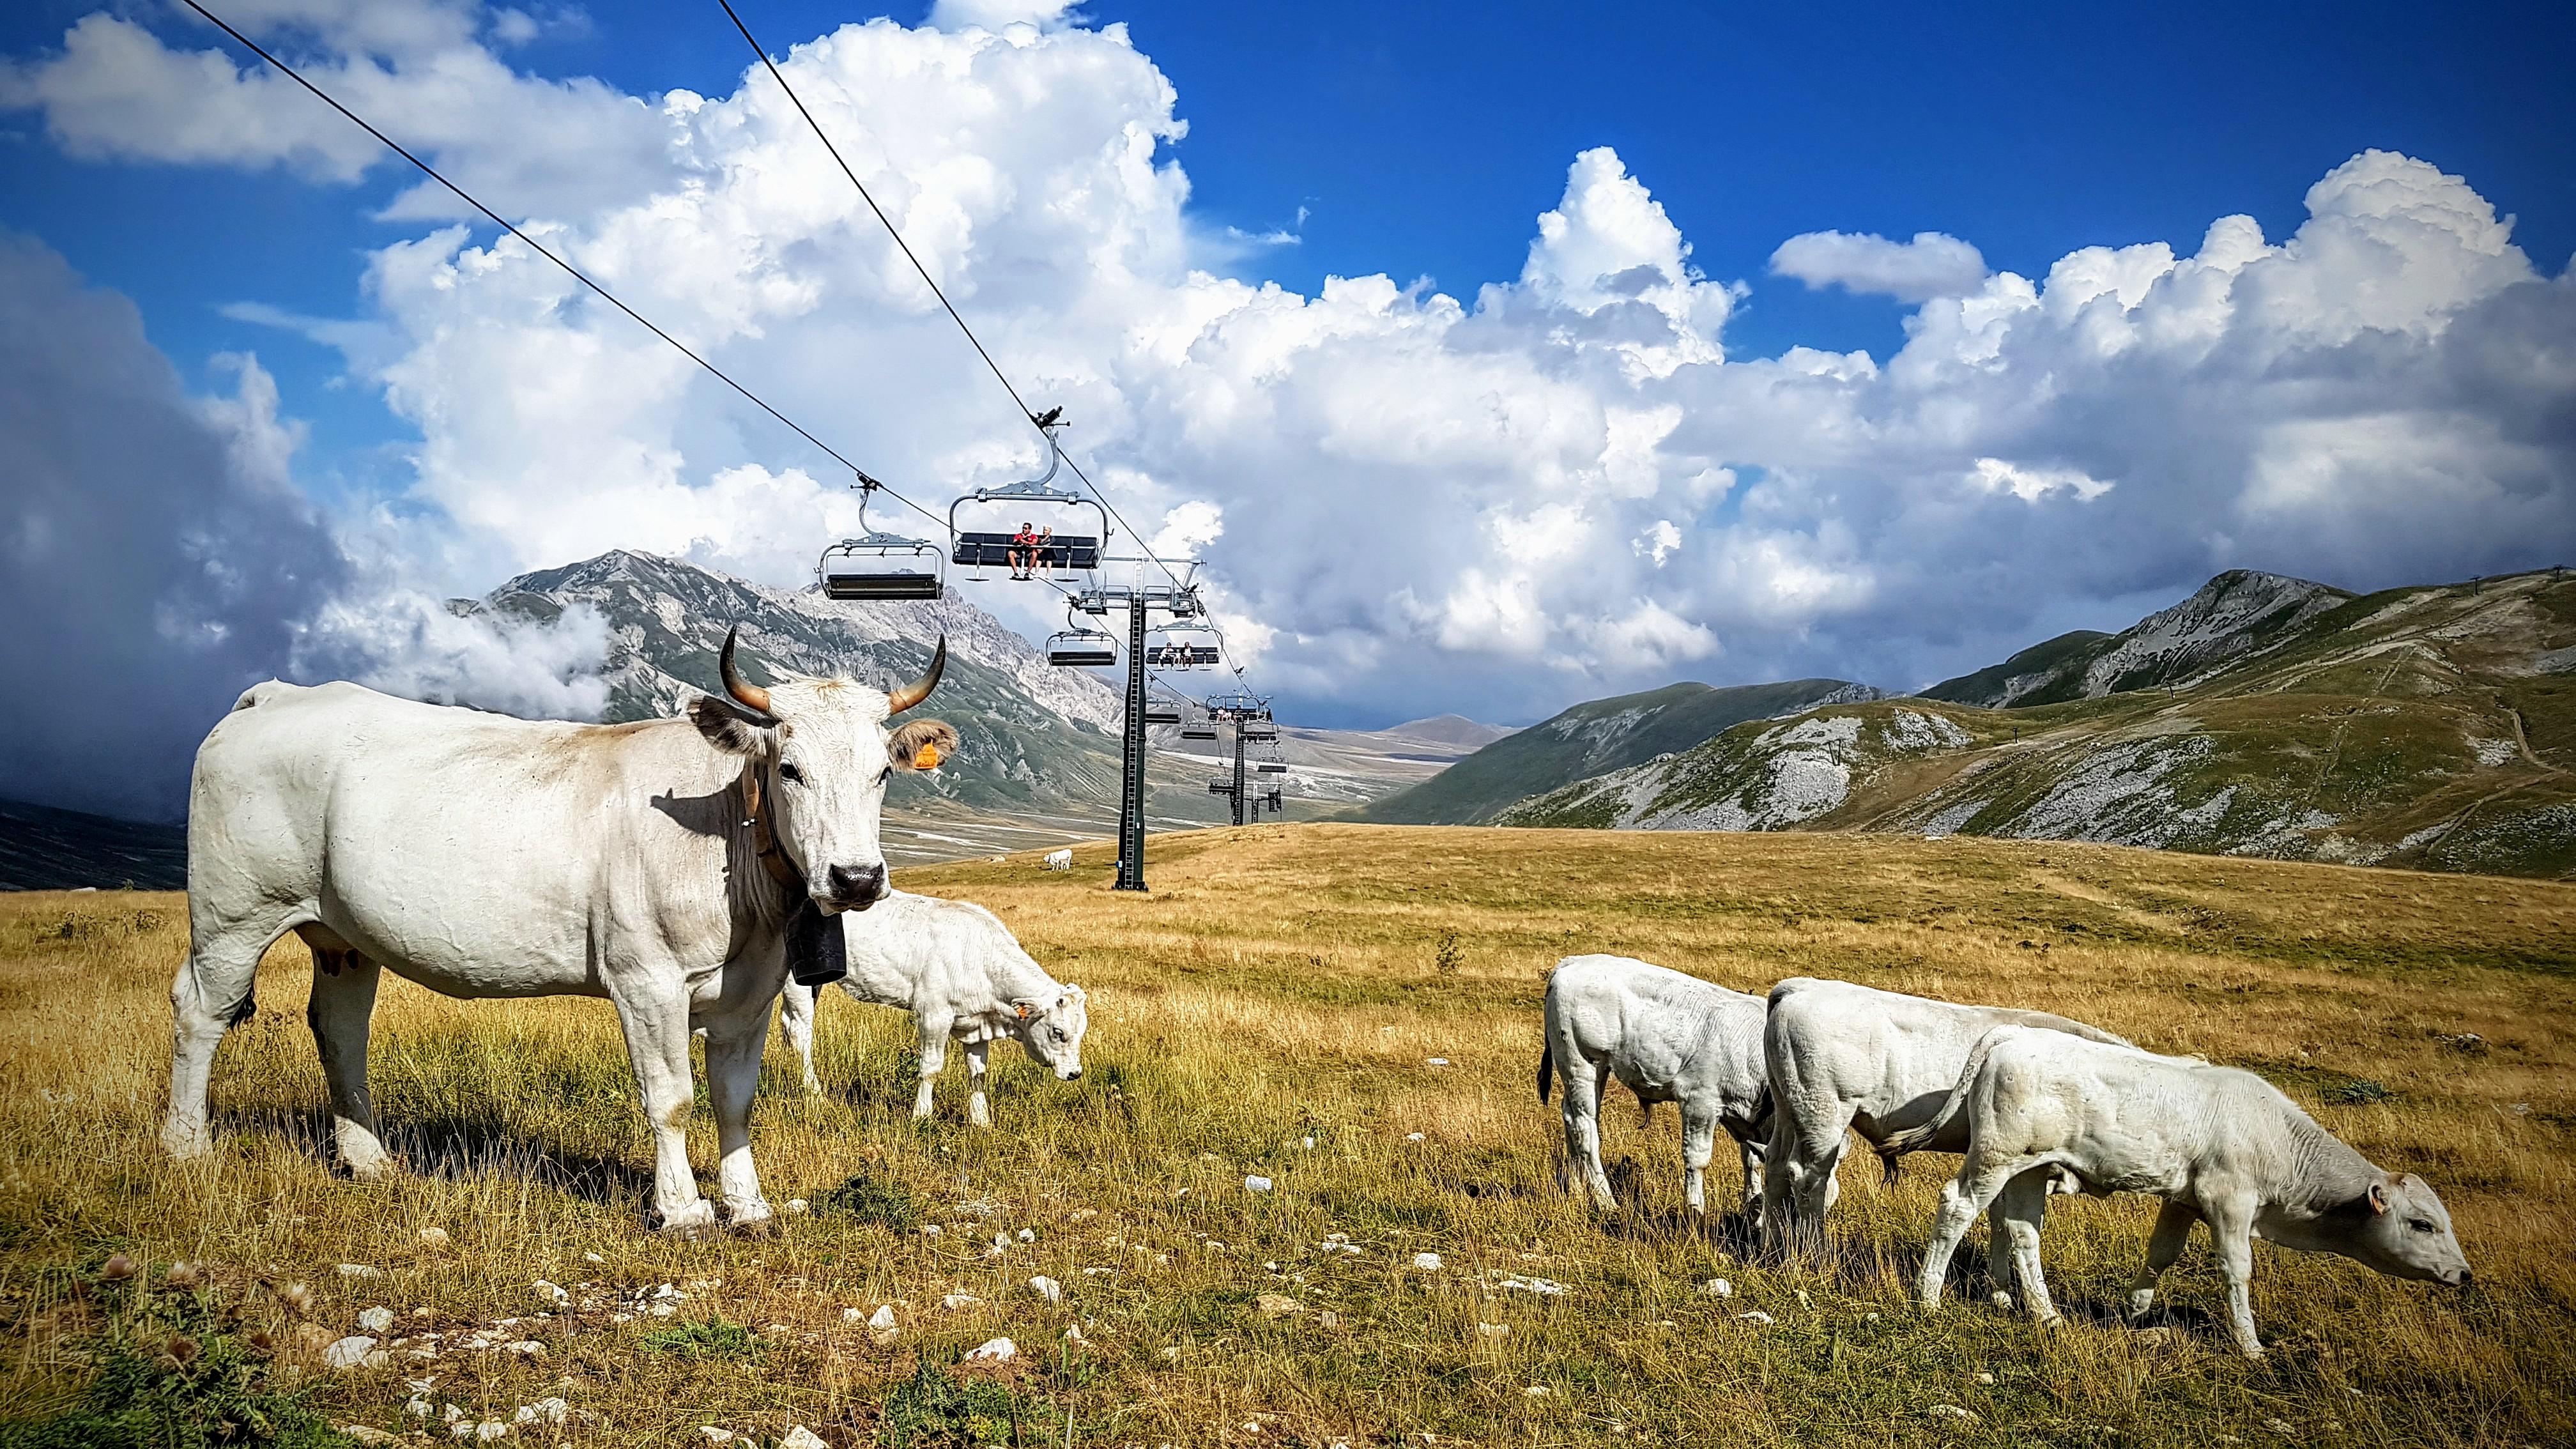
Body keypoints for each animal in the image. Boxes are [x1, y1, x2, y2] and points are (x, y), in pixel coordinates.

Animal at [161, 628, 954, 1237]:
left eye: (884, 773)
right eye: (789, 769)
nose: (856, 878)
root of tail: (279, 695)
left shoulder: (751, 993)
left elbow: (735, 1100)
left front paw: (748, 1204)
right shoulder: (645, 980)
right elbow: (673, 1098)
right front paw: (682, 1210)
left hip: (343, 933)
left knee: (340, 1027)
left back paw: (369, 1160)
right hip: (236, 910)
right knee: (201, 1011)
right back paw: (188, 1149)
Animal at [775, 891, 1087, 1125]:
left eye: (1081, 1032)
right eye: (1058, 1032)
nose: (1075, 1073)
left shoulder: (976, 1023)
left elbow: (978, 1072)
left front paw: (981, 1121)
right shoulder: (933, 1013)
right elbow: (931, 1067)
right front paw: (921, 1115)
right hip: (796, 981)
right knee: (801, 1034)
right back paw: (815, 1093)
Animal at [1539, 955, 1769, 1224]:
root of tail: (1573, 962)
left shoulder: (1749, 1121)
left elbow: (1753, 1161)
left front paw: (1754, 1213)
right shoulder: (1699, 1103)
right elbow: (1697, 1159)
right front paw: (1695, 1212)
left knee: (1570, 1120)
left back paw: (1576, 1191)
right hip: (1582, 1065)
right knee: (1585, 1130)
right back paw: (1607, 1203)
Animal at [1759, 977, 2132, 1257]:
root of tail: (1802, 987)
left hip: (1787, 1107)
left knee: (1775, 1166)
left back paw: (1770, 1249)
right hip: (1824, 1112)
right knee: (1808, 1178)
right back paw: (1817, 1253)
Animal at [1884, 1026, 2471, 1356]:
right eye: (2422, 1223)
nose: (2463, 1274)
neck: (2277, 1137)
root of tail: (2008, 1037)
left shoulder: (2183, 1200)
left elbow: (2162, 1253)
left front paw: (2137, 1310)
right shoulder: (2229, 1201)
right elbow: (2236, 1269)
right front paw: (2250, 1345)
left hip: (2032, 1165)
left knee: (2024, 1230)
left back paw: (2047, 1314)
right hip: (1997, 1157)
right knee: (1958, 1207)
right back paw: (1928, 1298)